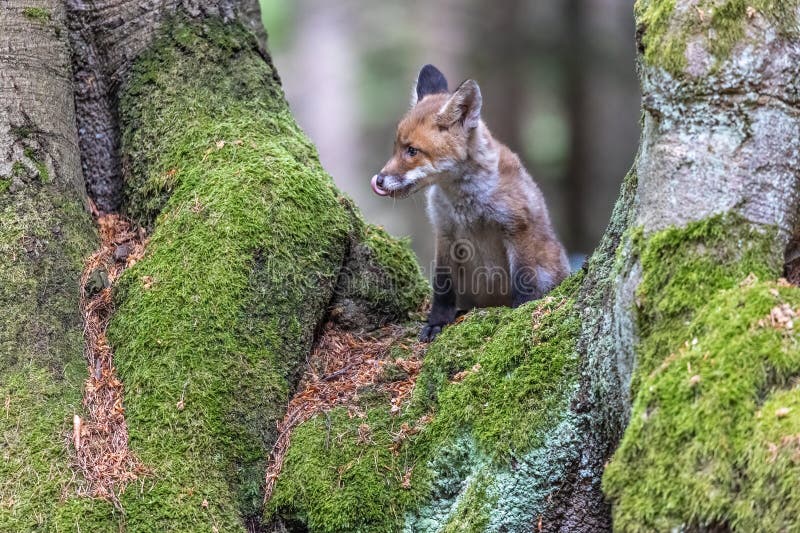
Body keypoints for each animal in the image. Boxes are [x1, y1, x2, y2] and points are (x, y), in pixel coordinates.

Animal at [371, 64, 570, 342]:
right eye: (396, 148)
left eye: (412, 151)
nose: (378, 180)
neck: (466, 205)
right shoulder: (445, 233)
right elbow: (442, 287)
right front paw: (437, 322)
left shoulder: (517, 228)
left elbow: (524, 281)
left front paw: (521, 313)